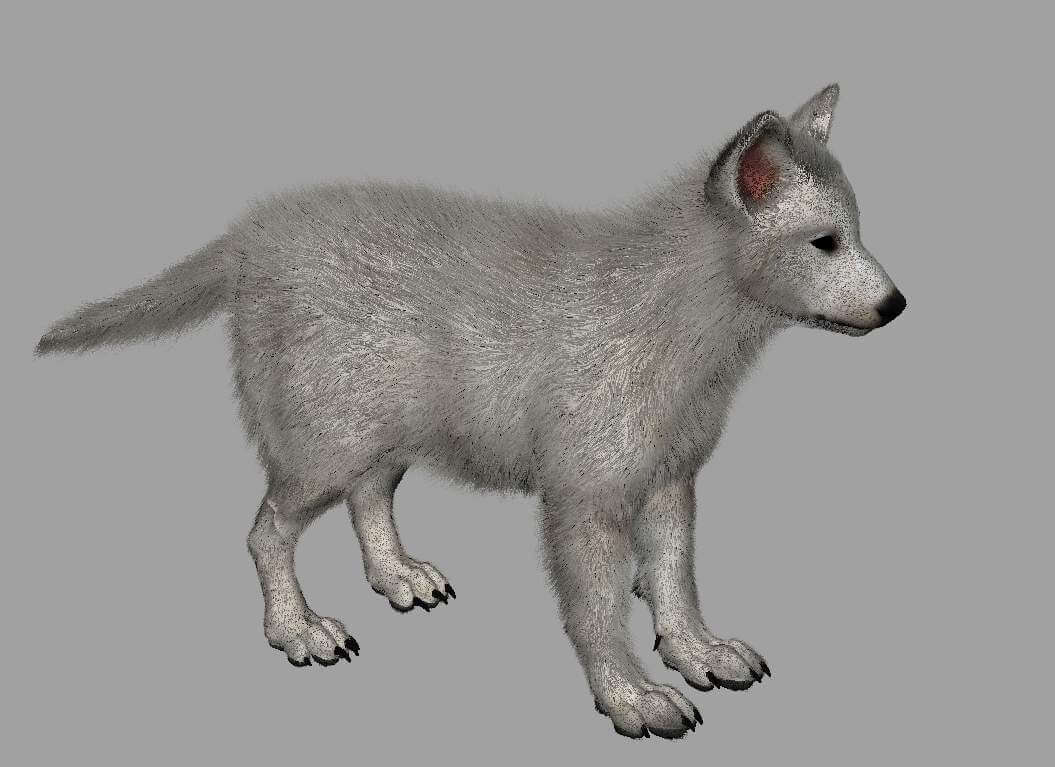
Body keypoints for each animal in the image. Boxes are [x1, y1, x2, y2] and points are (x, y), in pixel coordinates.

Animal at [36, 84, 904, 739]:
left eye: (856, 232)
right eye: (824, 242)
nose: (896, 304)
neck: (670, 329)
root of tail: (250, 236)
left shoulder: (669, 483)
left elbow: (674, 580)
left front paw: (698, 651)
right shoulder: (582, 501)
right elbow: (597, 612)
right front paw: (631, 697)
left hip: (380, 436)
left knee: (368, 500)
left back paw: (397, 575)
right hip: (321, 446)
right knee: (264, 532)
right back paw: (298, 629)